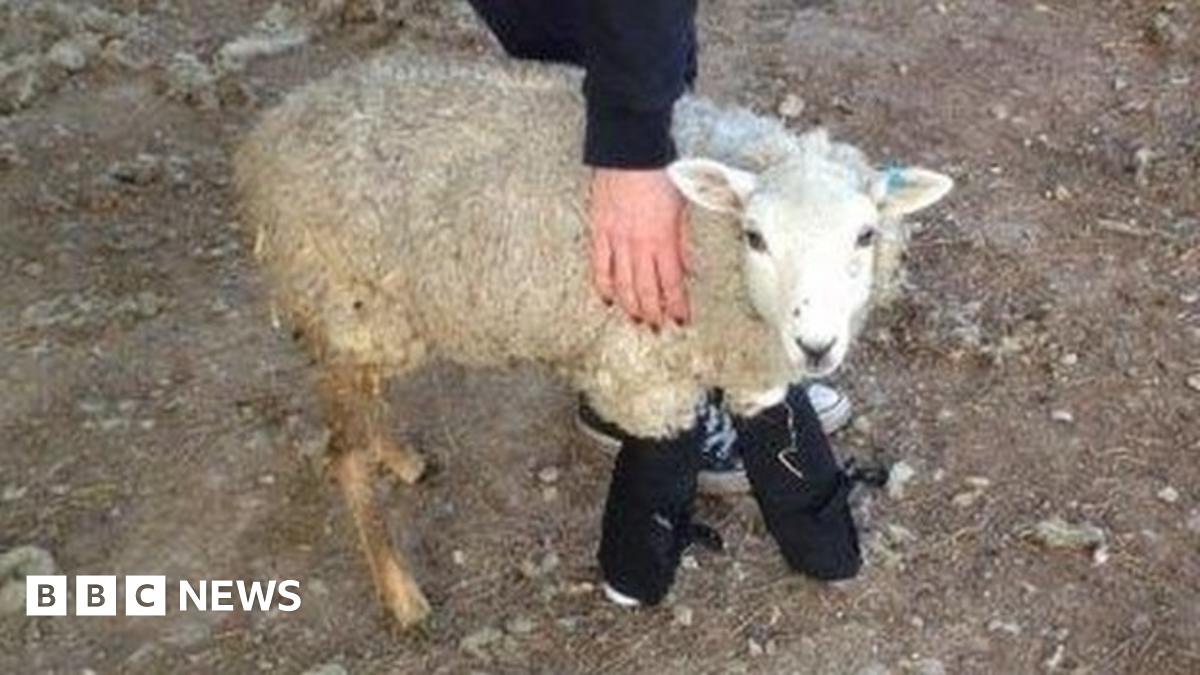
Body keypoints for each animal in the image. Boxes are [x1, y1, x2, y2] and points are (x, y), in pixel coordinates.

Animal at [234, 51, 952, 628]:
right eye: (755, 236)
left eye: (865, 235)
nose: (816, 344)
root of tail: (272, 132)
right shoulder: (642, 360)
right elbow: (655, 463)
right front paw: (636, 572)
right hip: (347, 302)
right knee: (344, 454)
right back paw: (401, 591)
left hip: (369, 322)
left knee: (359, 414)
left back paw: (400, 458)